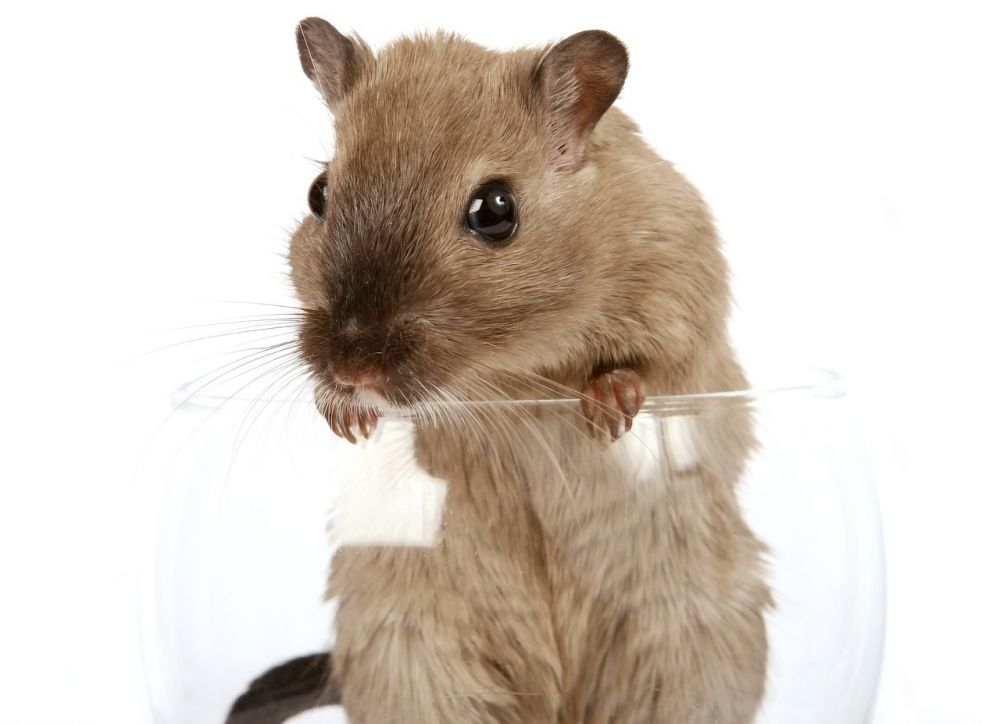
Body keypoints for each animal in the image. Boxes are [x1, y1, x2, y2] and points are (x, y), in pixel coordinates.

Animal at [226, 17, 770, 724]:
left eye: (495, 210)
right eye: (318, 195)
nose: (352, 367)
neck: (509, 372)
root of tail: (558, 698)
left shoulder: (685, 291)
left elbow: (657, 368)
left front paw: (606, 408)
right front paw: (345, 413)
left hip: (688, 647)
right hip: (412, 650)